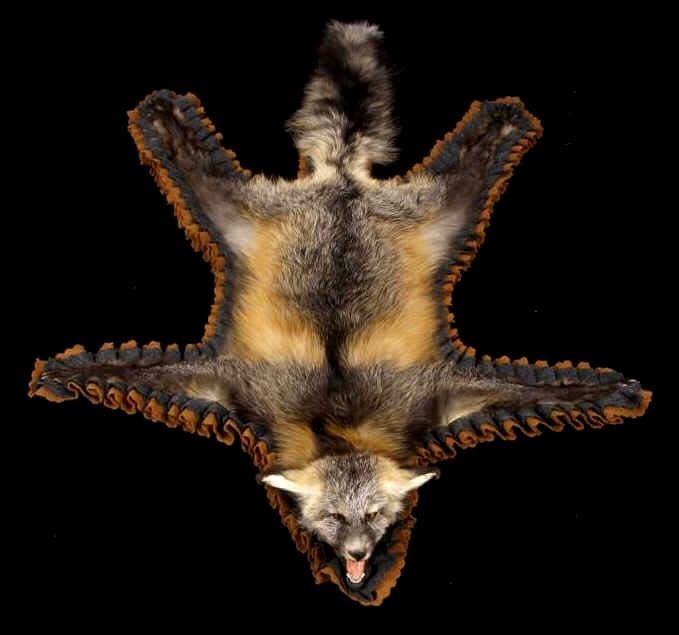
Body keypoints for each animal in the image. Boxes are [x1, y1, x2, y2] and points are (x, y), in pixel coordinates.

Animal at [32, 20, 650, 598]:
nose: (355, 555)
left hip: (437, 215)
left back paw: (500, 125)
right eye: (331, 517)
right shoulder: (233, 387)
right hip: (238, 216)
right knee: (198, 168)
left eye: (374, 515)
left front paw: (606, 393)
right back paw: (166, 122)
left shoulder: (437, 397)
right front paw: (64, 373)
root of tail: (342, 181)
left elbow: (537, 393)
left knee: (468, 167)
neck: (340, 425)